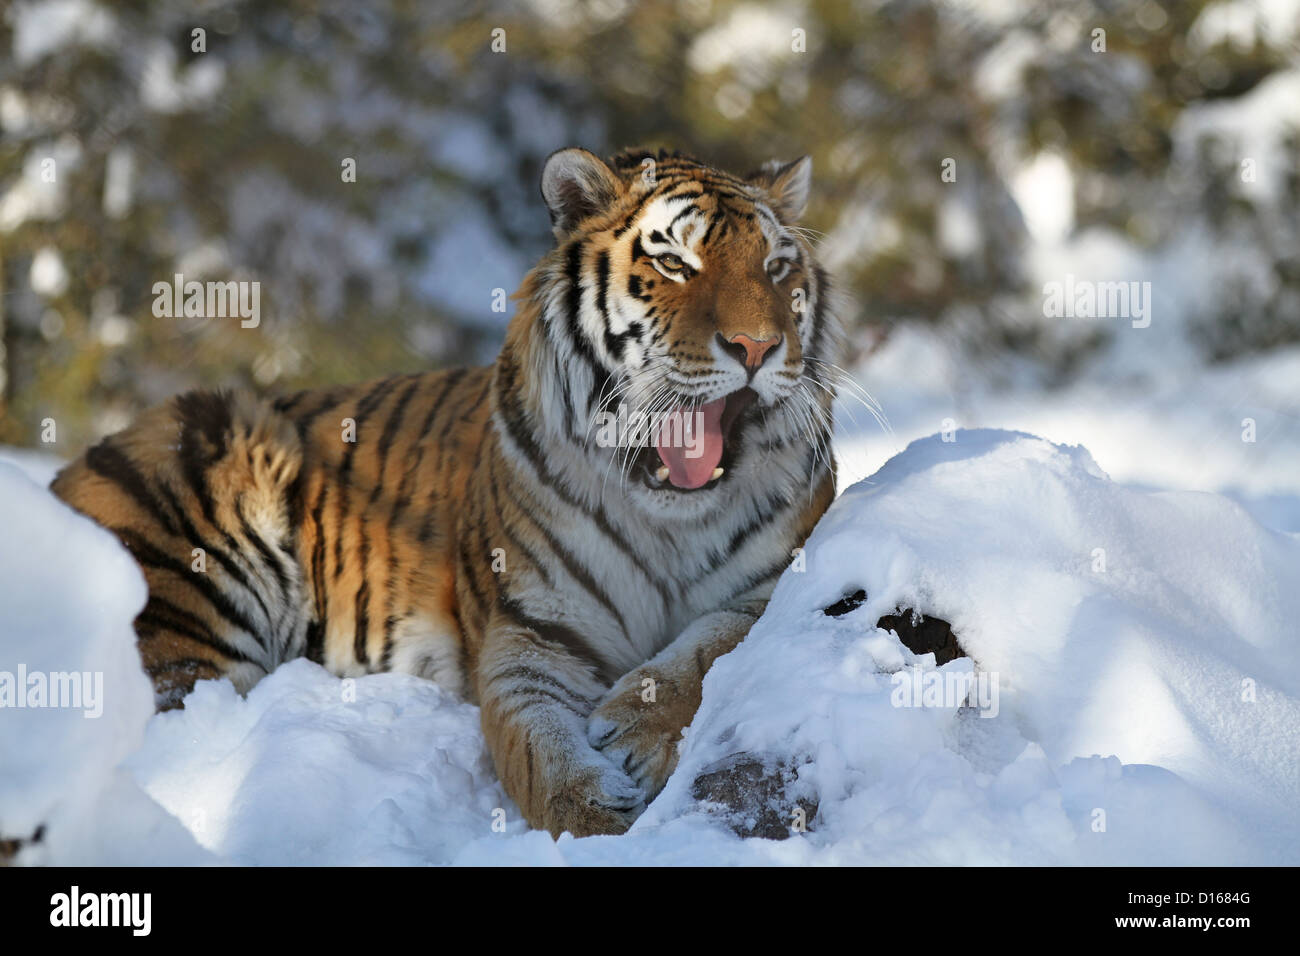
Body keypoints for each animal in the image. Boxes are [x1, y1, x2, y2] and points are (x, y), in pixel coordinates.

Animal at [49, 147, 842, 838]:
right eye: (674, 261)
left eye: (776, 267)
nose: (757, 347)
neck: (668, 515)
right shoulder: (531, 635)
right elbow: (538, 752)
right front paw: (595, 818)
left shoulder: (781, 582)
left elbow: (711, 646)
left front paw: (638, 733)